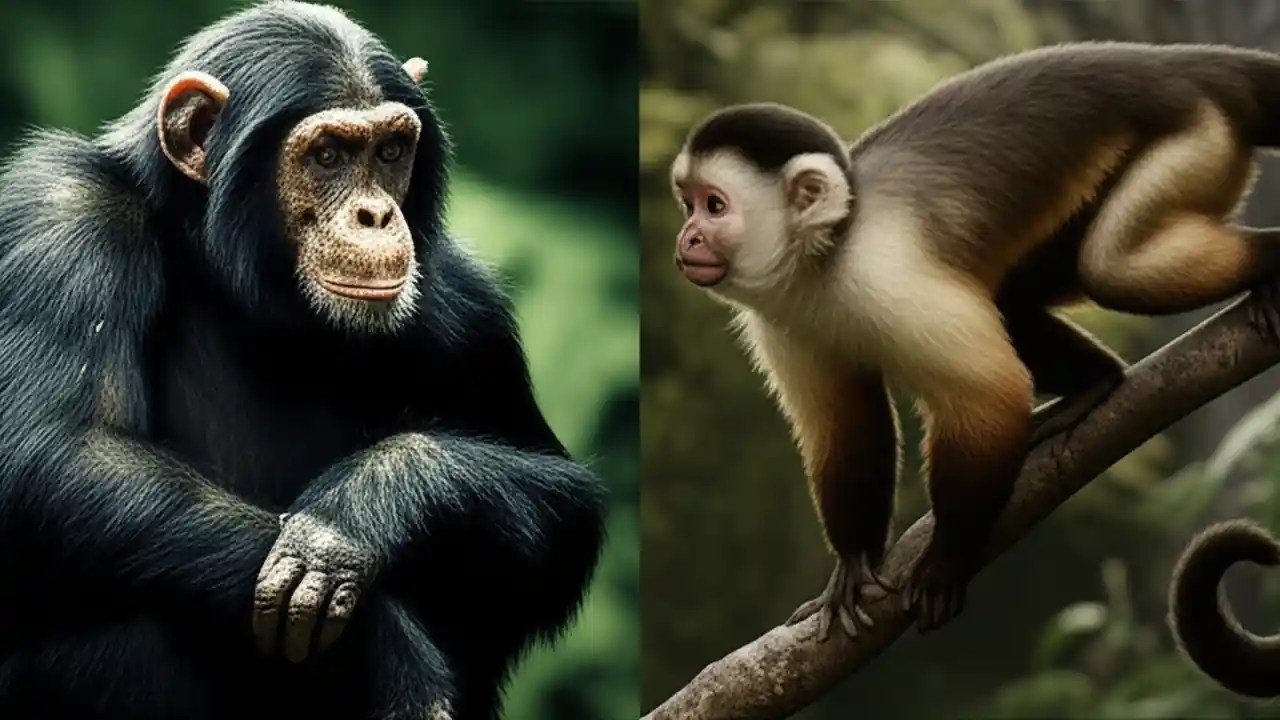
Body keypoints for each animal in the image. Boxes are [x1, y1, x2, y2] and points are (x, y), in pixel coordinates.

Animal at [669, 41, 1280, 639]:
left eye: (715, 206)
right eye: (688, 204)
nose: (687, 237)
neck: (829, 252)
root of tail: (1176, 62)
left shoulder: (888, 276)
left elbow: (991, 394)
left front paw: (948, 559)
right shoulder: (782, 316)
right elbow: (845, 427)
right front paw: (852, 564)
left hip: (1195, 140)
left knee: (1113, 267)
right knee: (1015, 293)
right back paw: (1096, 383)